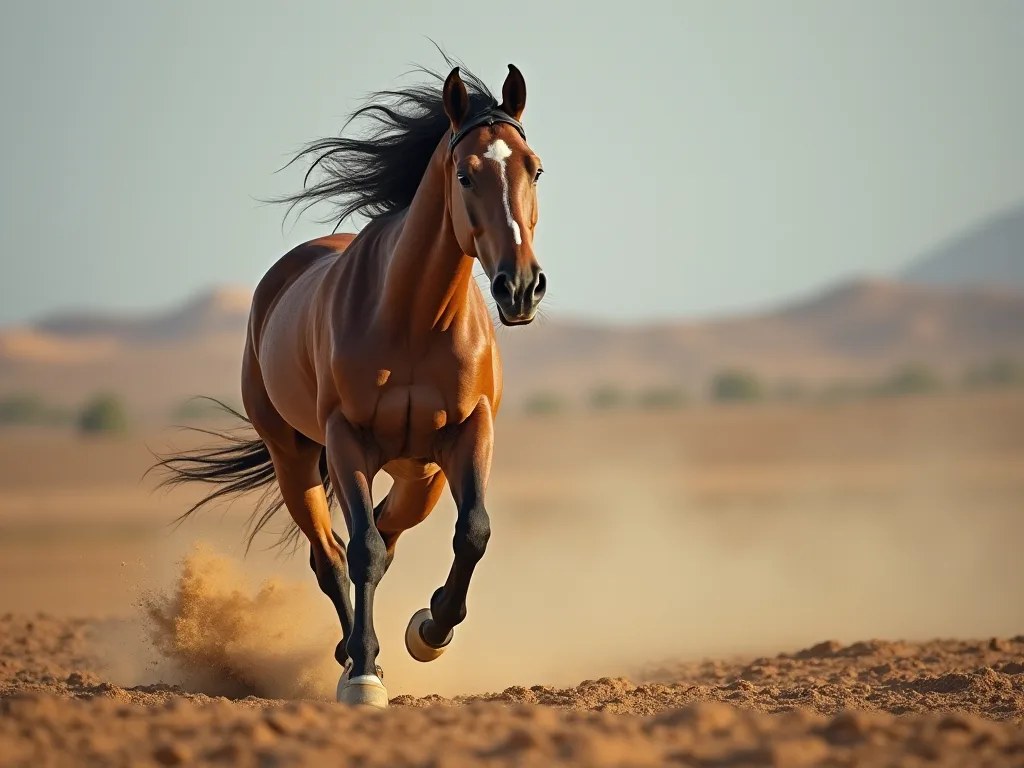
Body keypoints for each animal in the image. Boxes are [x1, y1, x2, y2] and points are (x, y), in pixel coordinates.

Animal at [151, 57, 546, 708]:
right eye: (465, 175)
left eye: (534, 168)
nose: (520, 288)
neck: (414, 319)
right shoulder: (346, 441)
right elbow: (359, 553)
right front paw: (364, 675)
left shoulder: (470, 431)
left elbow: (472, 533)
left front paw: (429, 631)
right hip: (295, 461)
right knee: (332, 555)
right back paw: (352, 656)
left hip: (422, 475)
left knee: (388, 532)